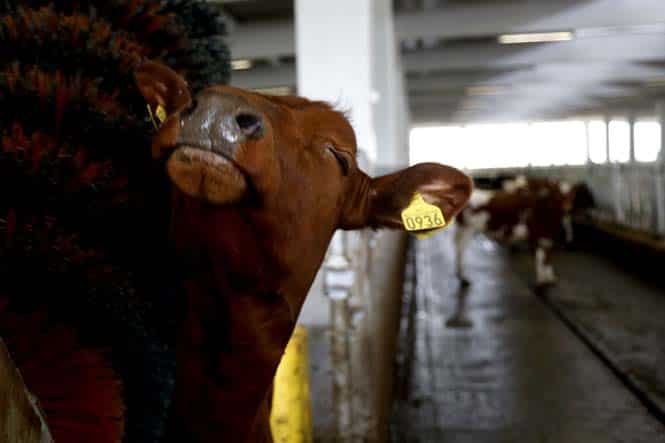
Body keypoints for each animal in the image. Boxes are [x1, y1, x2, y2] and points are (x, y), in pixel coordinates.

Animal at [454, 175, 593, 289]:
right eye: (555, 194)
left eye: (573, 195)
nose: (566, 206)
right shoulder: (535, 235)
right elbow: (540, 258)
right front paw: (541, 281)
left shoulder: (548, 237)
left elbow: (548, 257)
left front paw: (550, 278)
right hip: (467, 228)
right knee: (461, 251)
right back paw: (464, 278)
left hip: (463, 229)